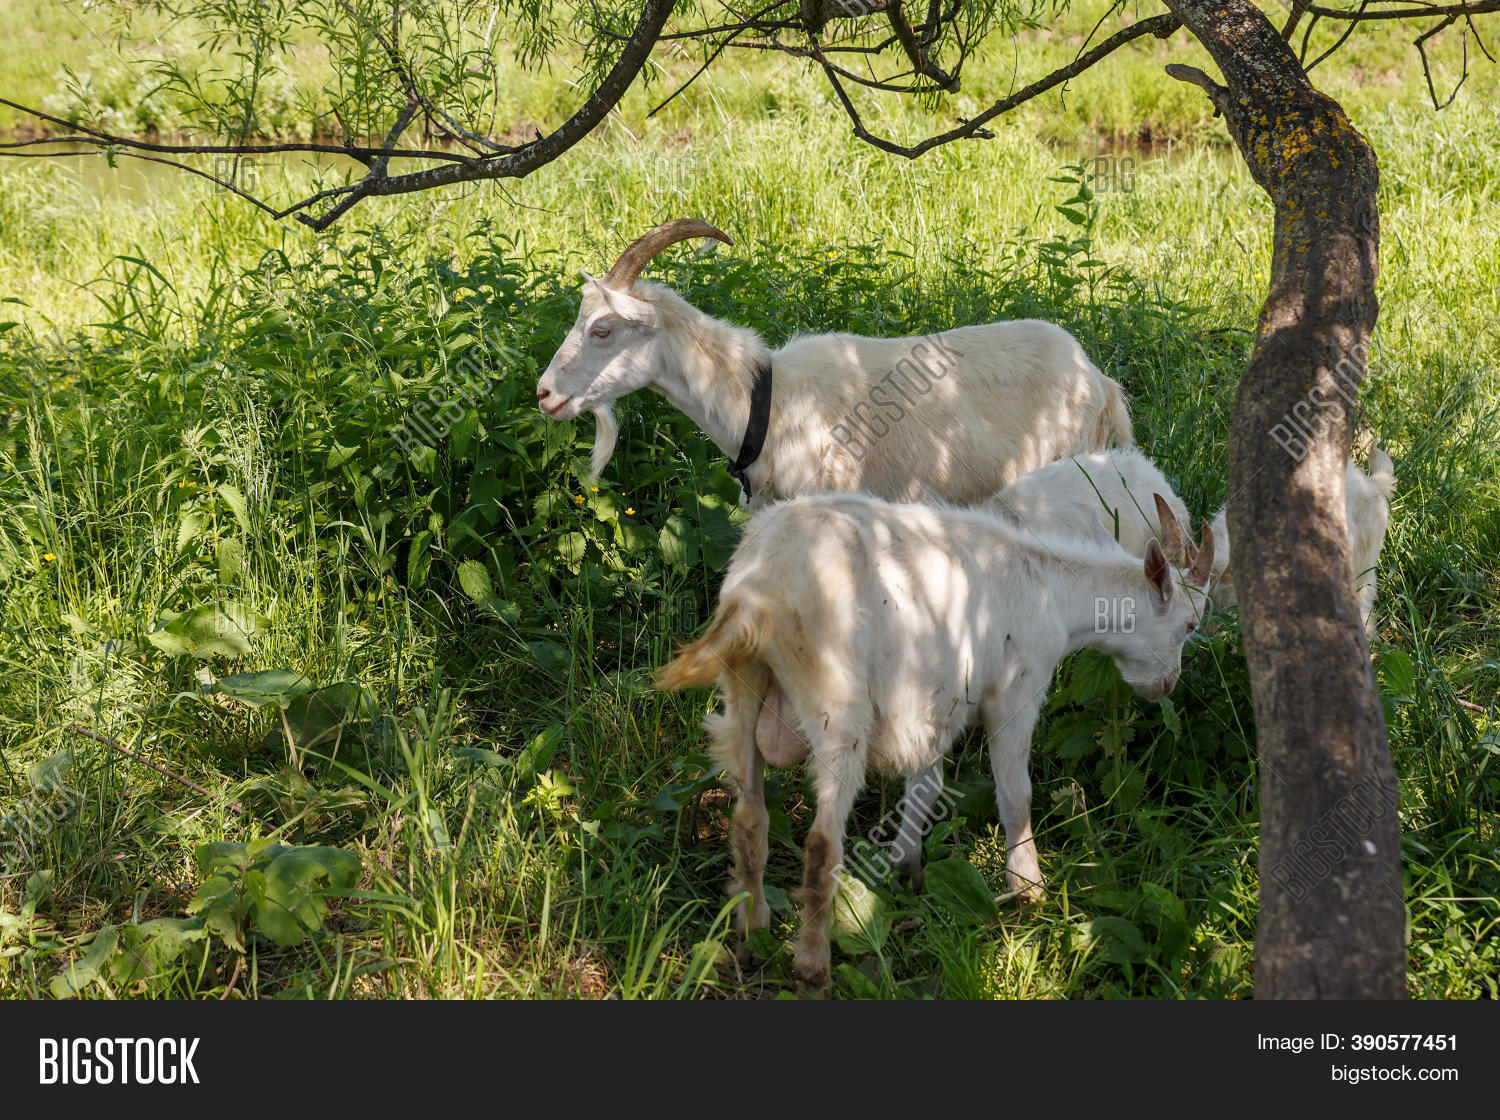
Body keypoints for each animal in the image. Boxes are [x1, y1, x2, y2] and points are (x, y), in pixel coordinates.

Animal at [656, 492, 1213, 987]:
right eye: (1190, 624)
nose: (1166, 686)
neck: (1050, 588)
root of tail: (758, 592)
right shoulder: (1016, 690)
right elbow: (1014, 794)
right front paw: (1028, 891)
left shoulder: (933, 704)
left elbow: (925, 788)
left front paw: (908, 869)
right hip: (838, 702)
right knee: (820, 841)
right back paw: (813, 967)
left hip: (743, 691)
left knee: (750, 818)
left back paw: (751, 936)